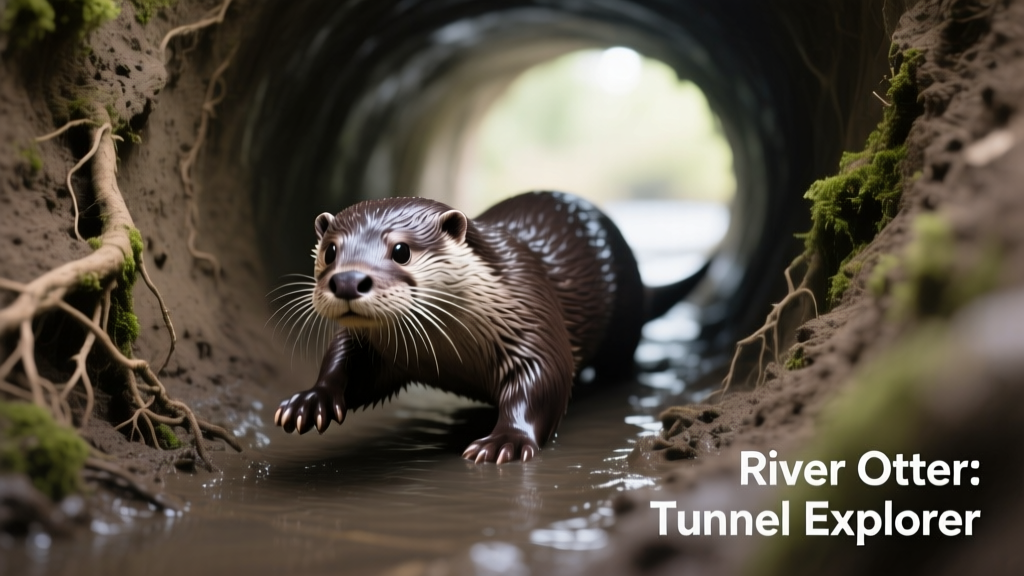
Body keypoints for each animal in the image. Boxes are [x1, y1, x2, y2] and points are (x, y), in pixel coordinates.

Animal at [273, 191, 708, 464]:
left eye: (400, 250)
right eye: (331, 251)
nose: (347, 281)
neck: (451, 353)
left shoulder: (531, 316)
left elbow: (545, 376)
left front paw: (506, 441)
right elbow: (347, 364)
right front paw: (311, 400)